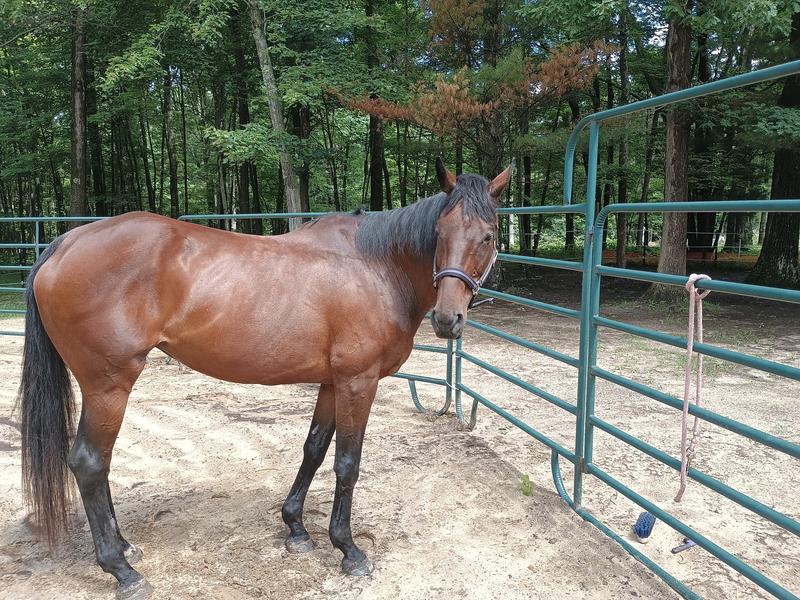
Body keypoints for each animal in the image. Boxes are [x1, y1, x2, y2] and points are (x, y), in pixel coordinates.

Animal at [17, 158, 512, 599]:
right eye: (439, 235)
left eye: (487, 236)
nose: (448, 321)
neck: (376, 266)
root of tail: (65, 243)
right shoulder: (359, 381)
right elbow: (347, 463)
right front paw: (348, 549)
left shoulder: (332, 382)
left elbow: (314, 448)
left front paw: (295, 527)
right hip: (108, 386)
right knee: (89, 462)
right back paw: (121, 570)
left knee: (99, 463)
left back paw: (124, 547)